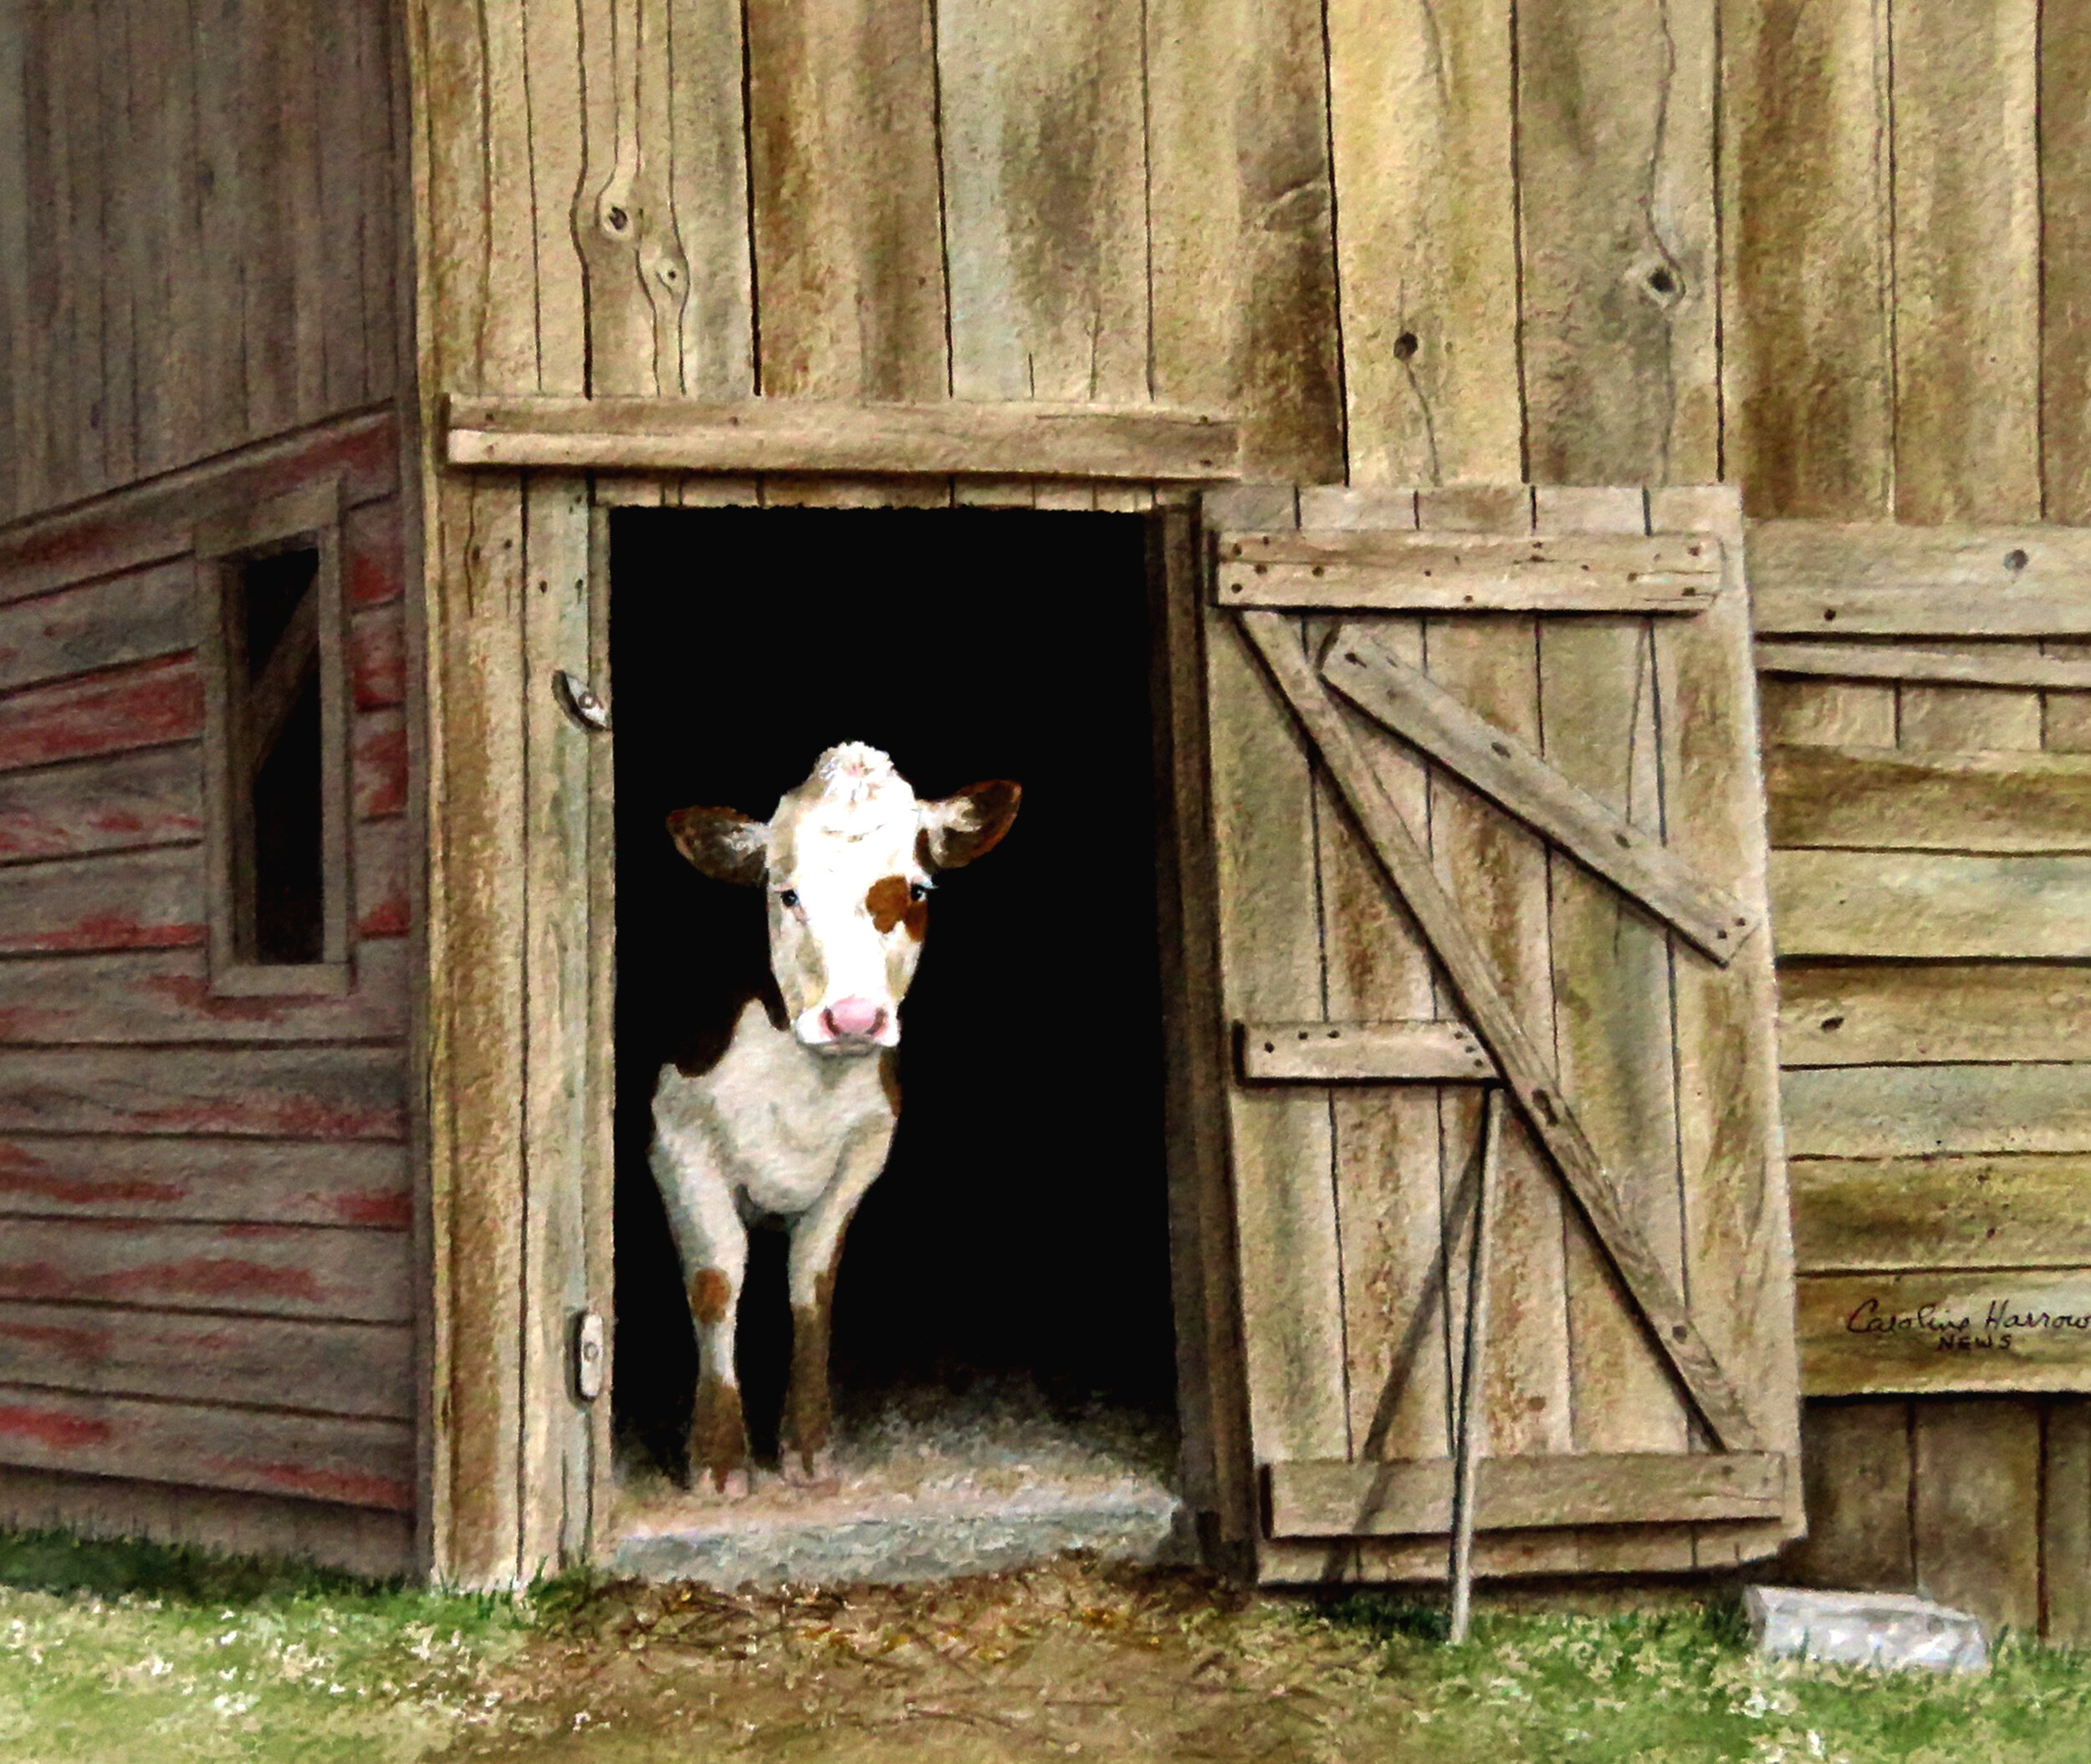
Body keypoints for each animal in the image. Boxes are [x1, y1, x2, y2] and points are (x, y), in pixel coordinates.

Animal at [652, 742, 1021, 1496]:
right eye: (786, 892)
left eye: (917, 889)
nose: (852, 1018)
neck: (803, 1091)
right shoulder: (676, 1142)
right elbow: (716, 1280)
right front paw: (717, 1457)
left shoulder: (866, 1149)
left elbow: (813, 1284)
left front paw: (808, 1445)